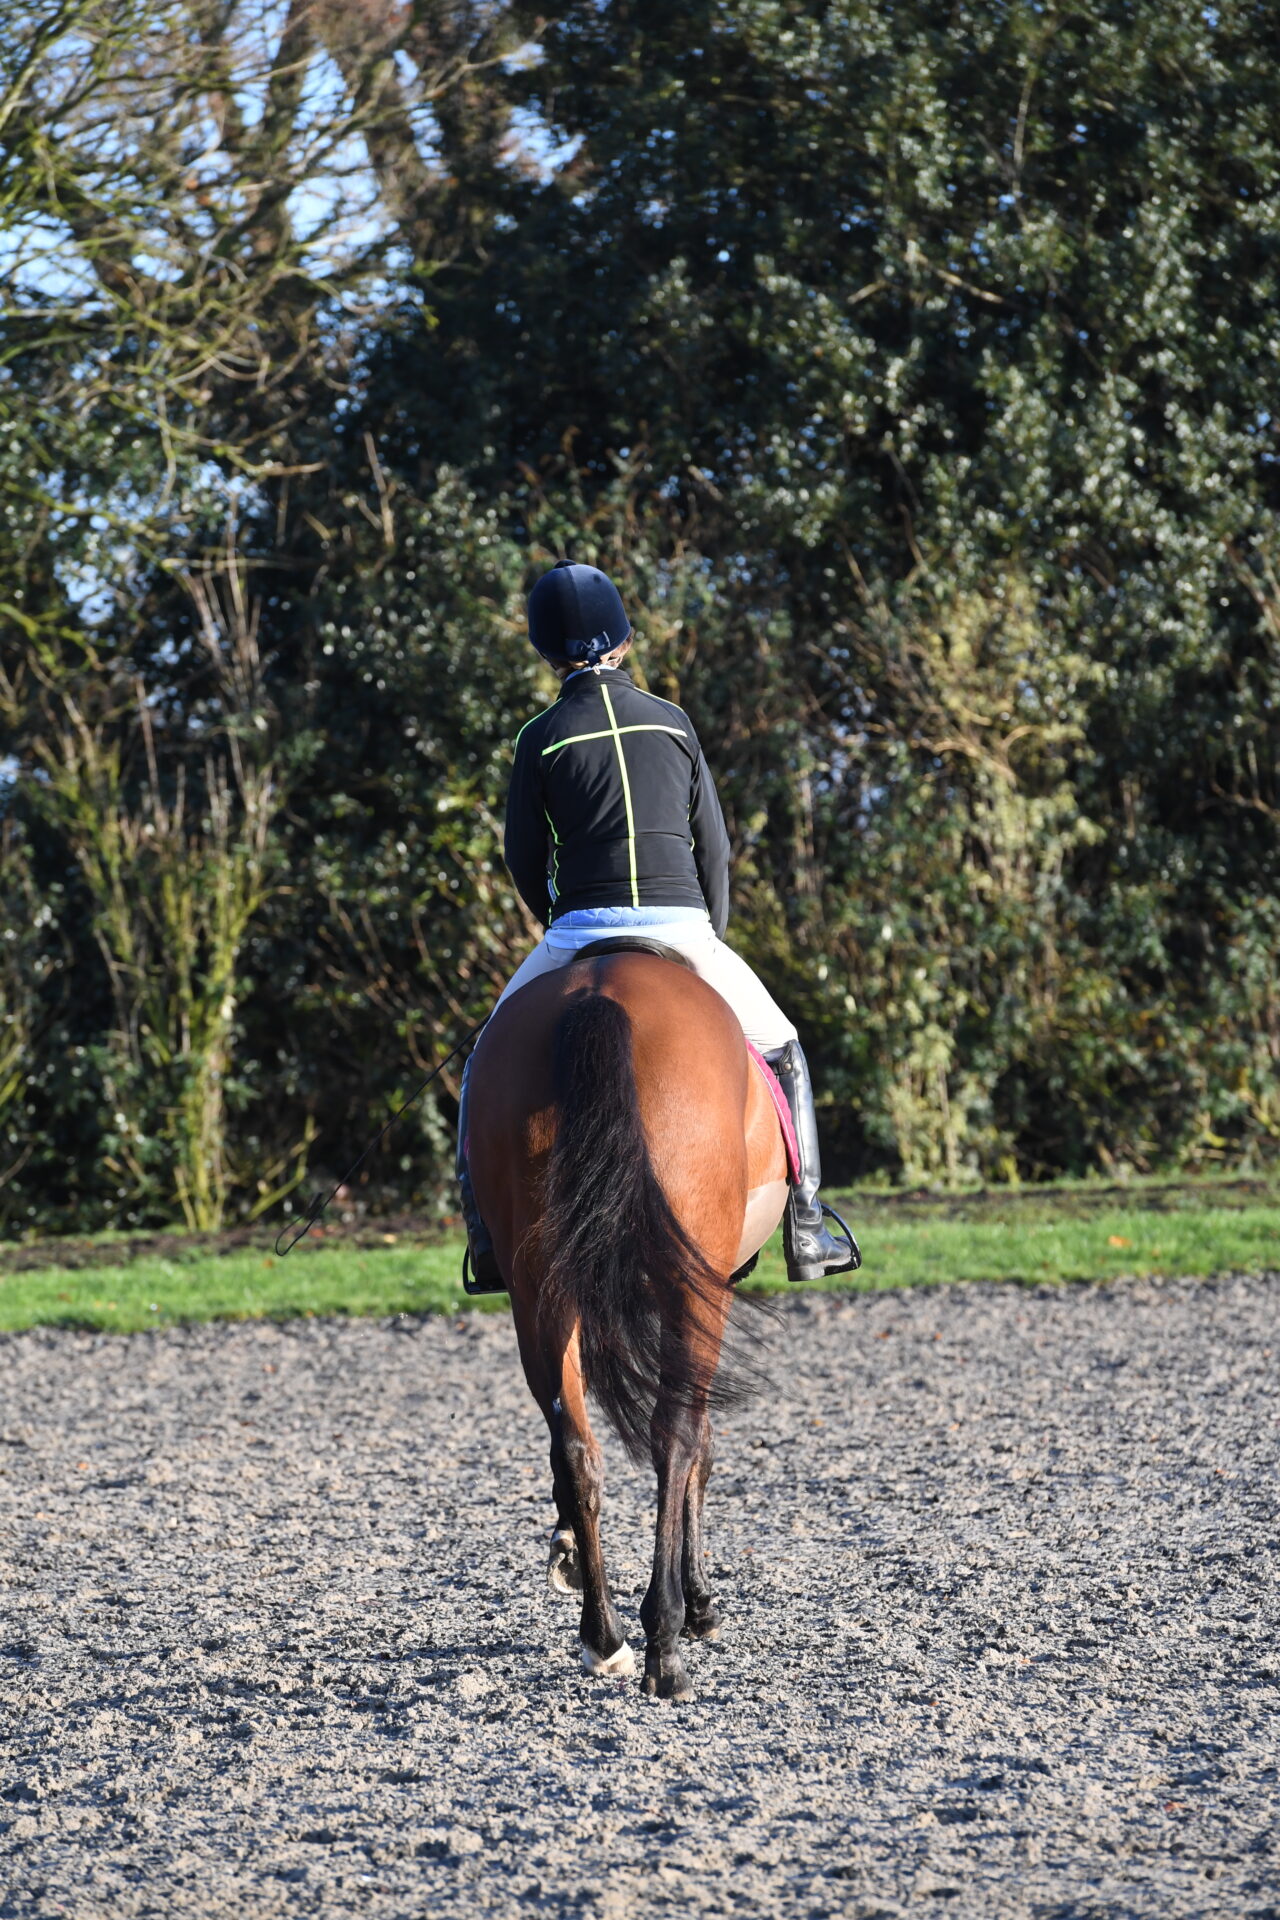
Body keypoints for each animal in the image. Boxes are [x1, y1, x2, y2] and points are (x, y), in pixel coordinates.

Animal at [466, 940, 789, 1701]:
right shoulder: (706, 1286)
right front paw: (700, 1605)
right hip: (692, 1287)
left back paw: (602, 1637)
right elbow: (701, 1446)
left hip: (540, 1286)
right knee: (675, 1435)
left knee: (576, 1447)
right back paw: (663, 1643)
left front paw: (566, 1551)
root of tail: (600, 993)